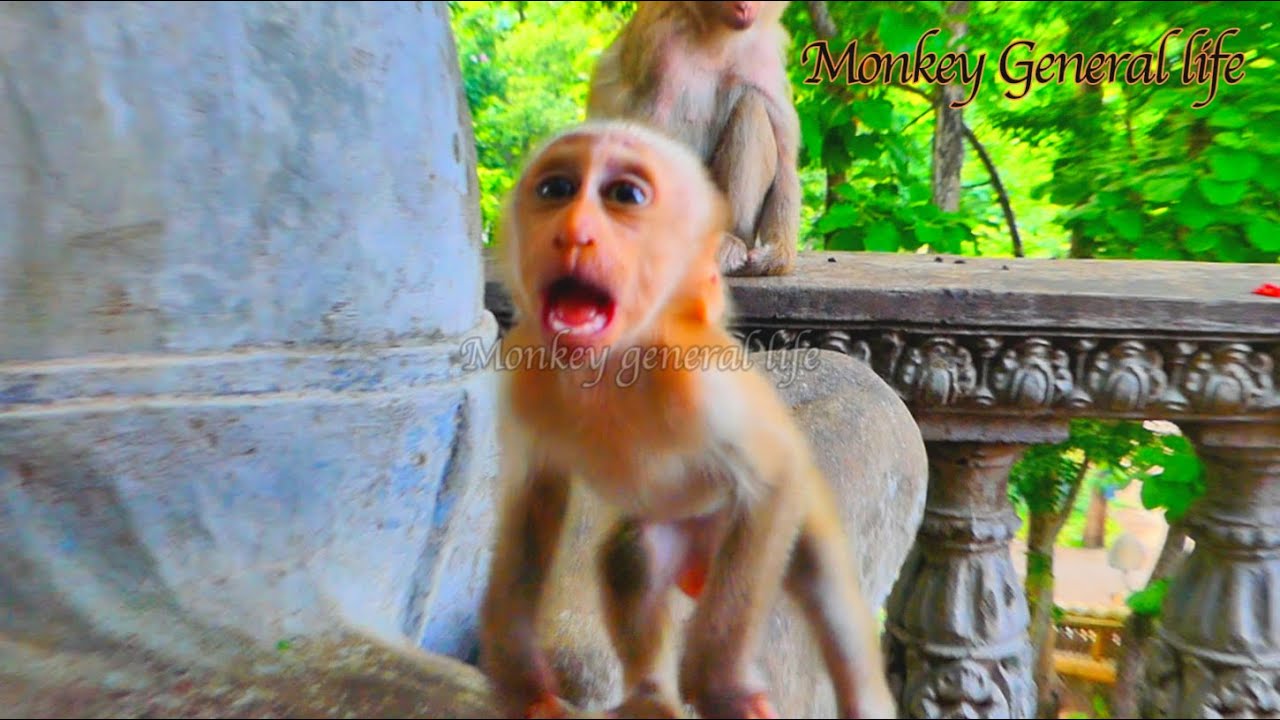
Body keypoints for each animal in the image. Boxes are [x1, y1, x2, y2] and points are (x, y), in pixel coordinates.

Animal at [477, 120, 896, 720]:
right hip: (683, 531)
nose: (574, 234)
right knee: (634, 556)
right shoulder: (523, 376)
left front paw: (718, 682)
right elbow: (533, 501)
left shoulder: (696, 380)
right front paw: (518, 674)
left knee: (826, 594)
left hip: (788, 528)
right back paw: (650, 693)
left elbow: (771, 478)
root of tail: (702, 562)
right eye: (556, 189)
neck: (608, 365)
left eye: (625, 196)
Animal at [586, 1, 802, 278]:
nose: (745, 6)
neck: (718, 36)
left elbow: (785, 157)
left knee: (751, 104)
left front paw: (775, 256)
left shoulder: (764, 54)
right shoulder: (661, 49)